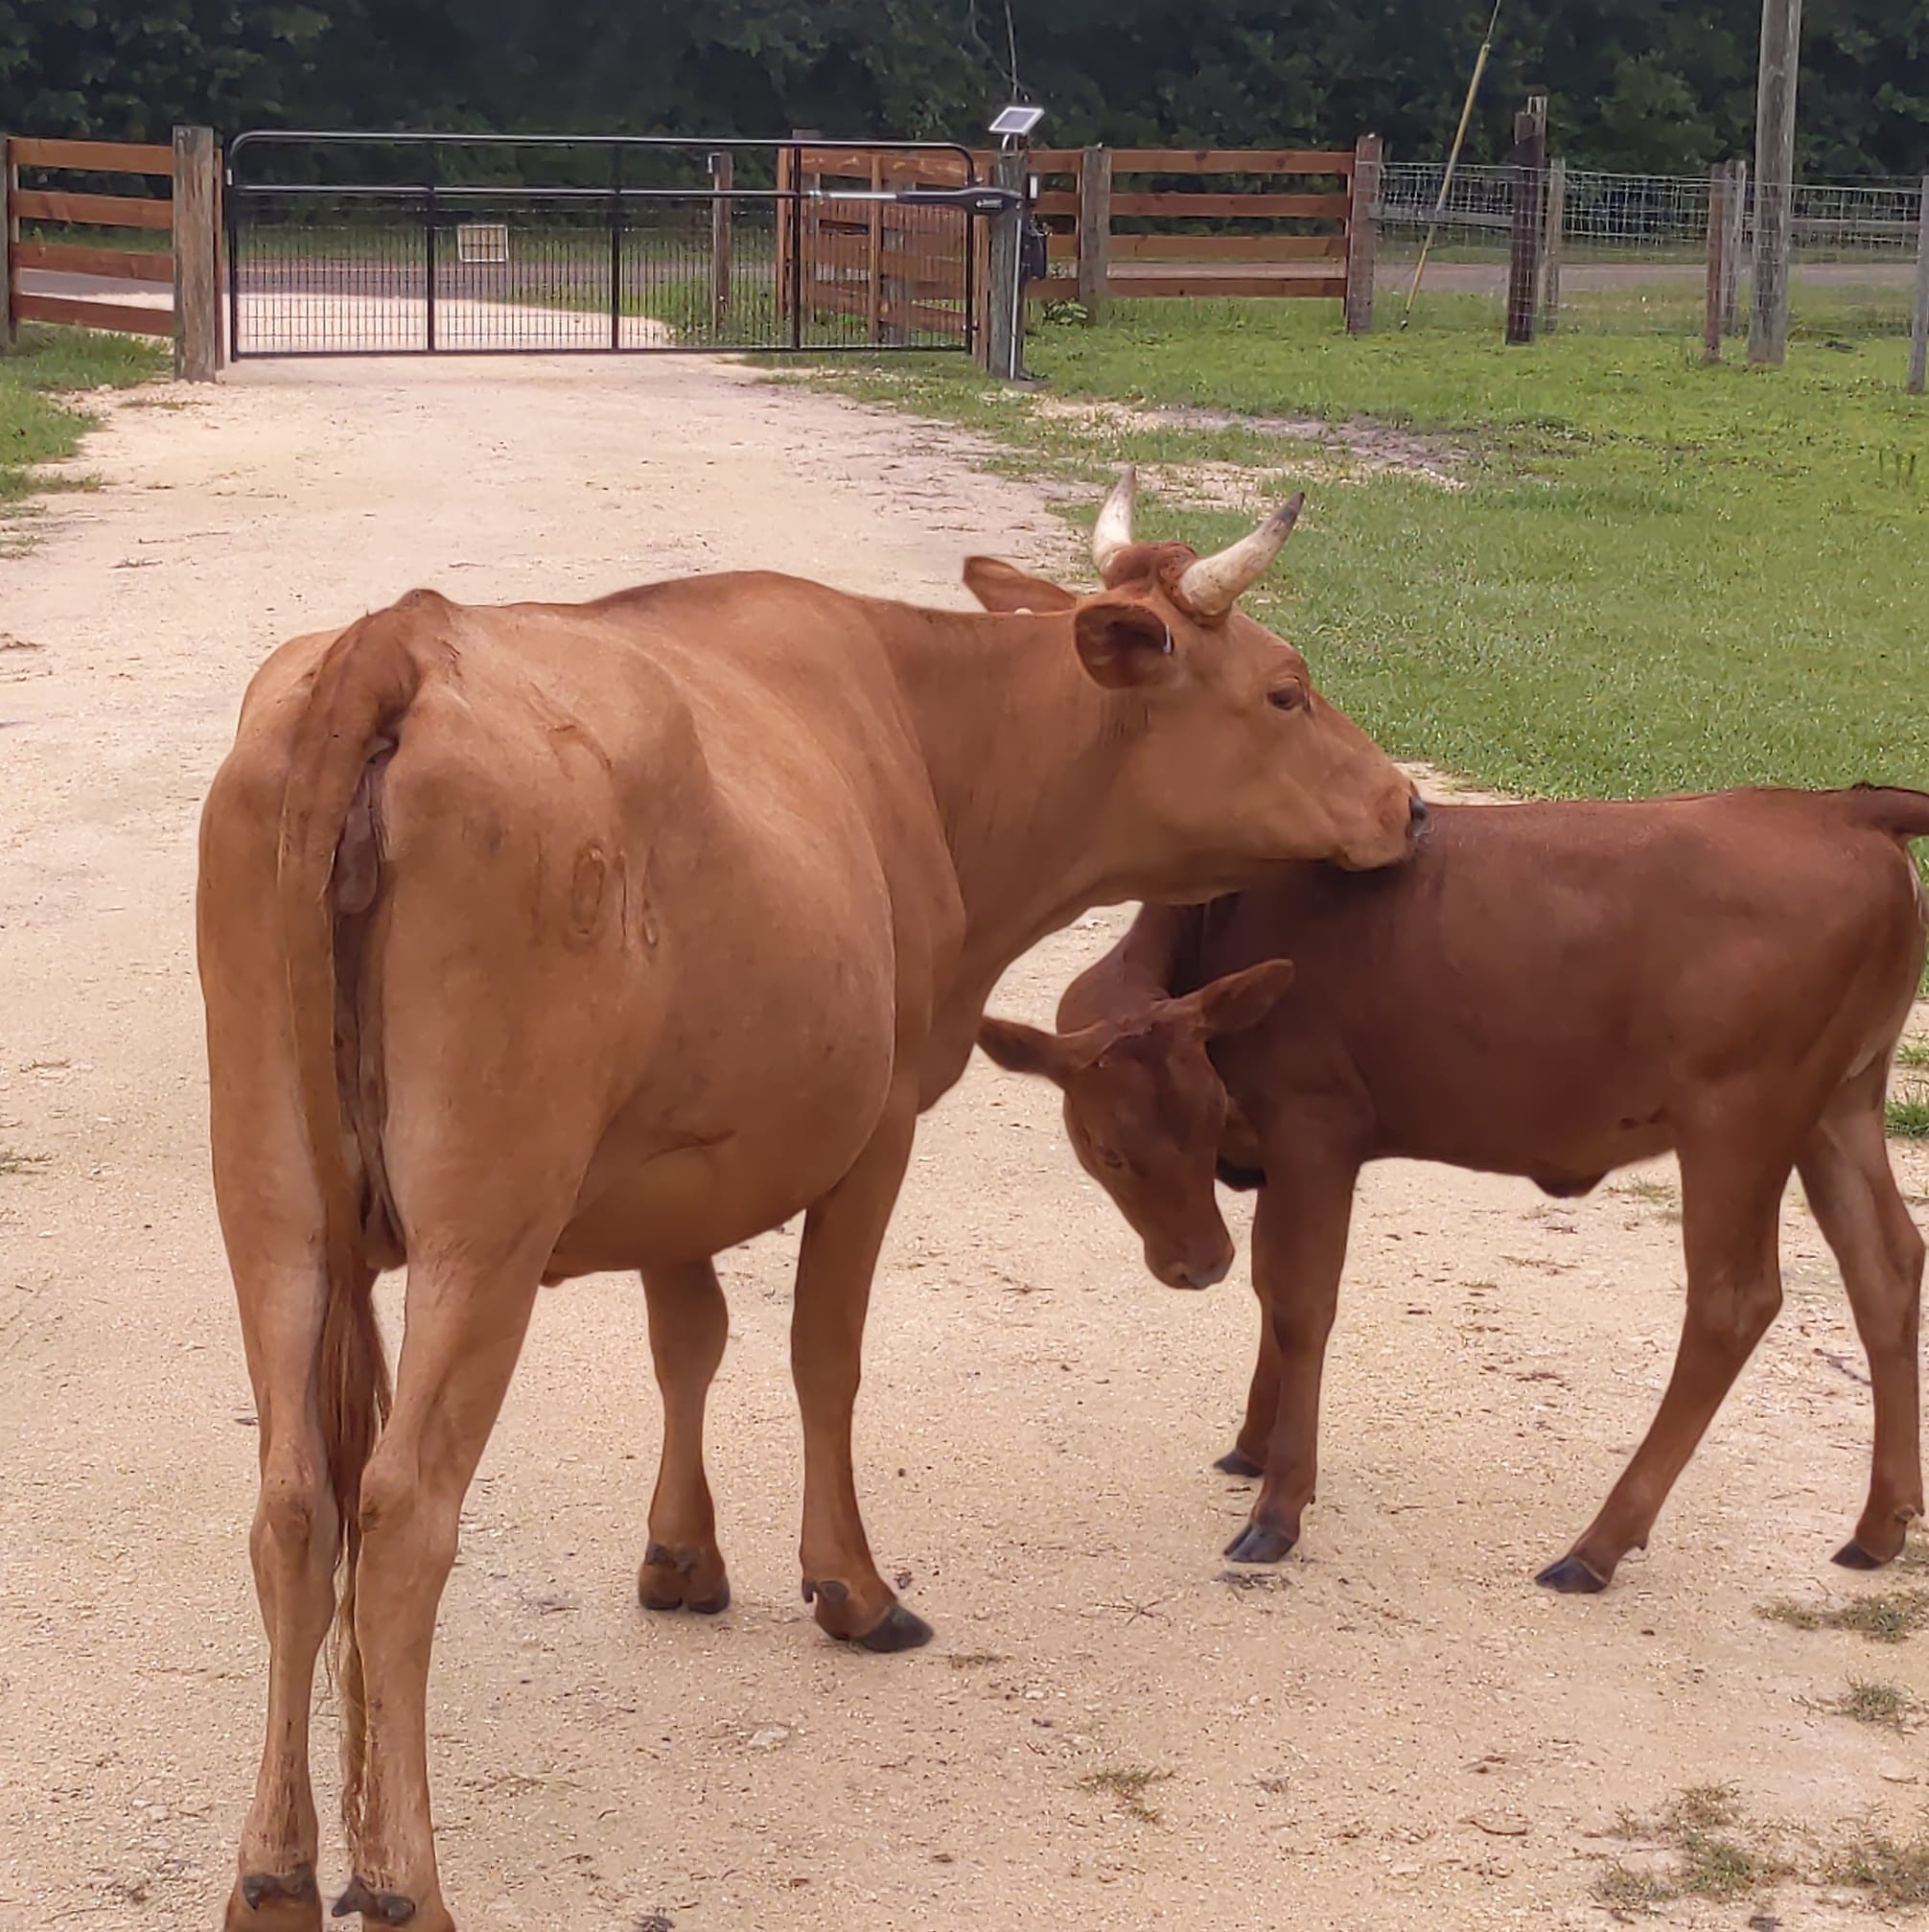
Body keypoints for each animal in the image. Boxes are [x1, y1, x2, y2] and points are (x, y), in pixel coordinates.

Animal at [198, 471, 1424, 1931]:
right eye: (1288, 690)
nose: (1409, 805)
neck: (927, 740)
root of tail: (400, 638)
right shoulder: (880, 1120)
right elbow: (821, 1354)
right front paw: (852, 1583)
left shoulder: (679, 1151)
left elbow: (690, 1340)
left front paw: (681, 1558)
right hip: (479, 1231)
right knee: (397, 1514)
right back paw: (401, 1879)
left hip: (273, 1208)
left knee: (292, 1506)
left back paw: (274, 1869)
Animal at [976, 786, 1929, 1600]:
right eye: (1110, 1148)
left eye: (1209, 1116)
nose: (1198, 1262)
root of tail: (1834, 804)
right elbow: (1272, 1290)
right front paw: (1252, 1443)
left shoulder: (1314, 1130)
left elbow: (1301, 1302)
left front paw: (1280, 1504)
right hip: (1839, 1105)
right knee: (1885, 1265)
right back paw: (1880, 1524)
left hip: (1740, 1121)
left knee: (1734, 1302)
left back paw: (1597, 1544)